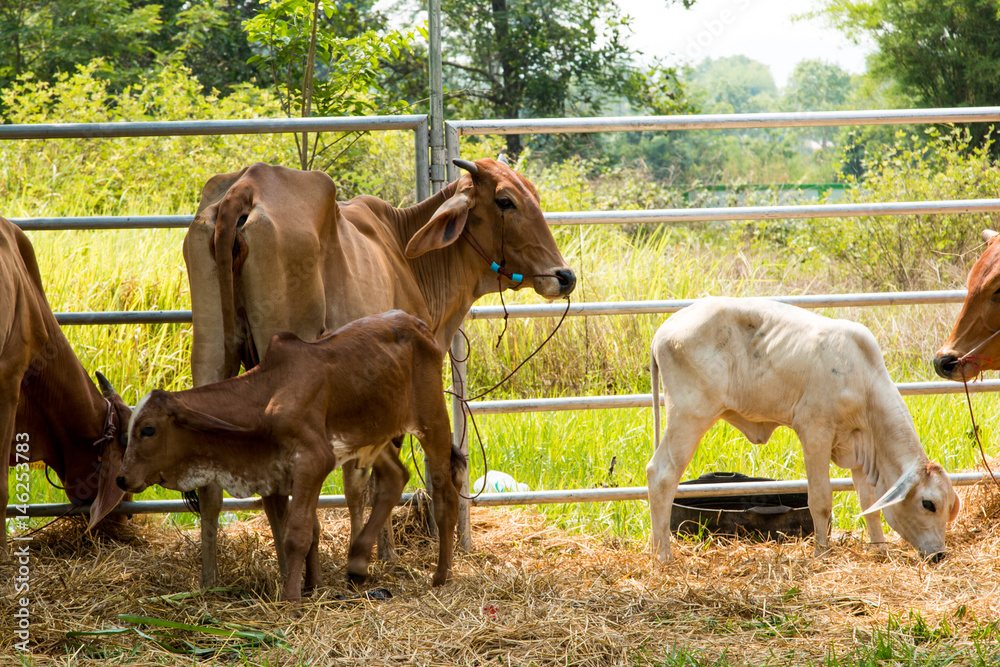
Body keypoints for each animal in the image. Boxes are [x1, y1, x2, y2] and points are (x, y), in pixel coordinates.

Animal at [116, 311, 463, 602]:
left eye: (148, 429)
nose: (121, 478)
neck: (268, 395)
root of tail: (417, 323)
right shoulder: (280, 472)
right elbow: (304, 531)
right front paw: (310, 586)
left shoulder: (314, 460)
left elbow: (296, 534)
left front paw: (292, 600)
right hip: (372, 435)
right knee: (394, 478)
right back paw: (357, 563)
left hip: (432, 420)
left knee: (445, 493)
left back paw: (442, 575)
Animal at [183, 158, 576, 586]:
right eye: (505, 201)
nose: (564, 276)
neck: (405, 258)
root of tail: (249, 185)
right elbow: (369, 478)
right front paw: (378, 554)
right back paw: (303, 575)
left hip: (211, 351)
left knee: (212, 481)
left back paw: (210, 579)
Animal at [646, 297, 960, 565]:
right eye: (928, 504)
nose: (939, 554)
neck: (863, 380)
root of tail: (664, 329)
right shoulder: (815, 432)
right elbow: (820, 499)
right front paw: (822, 552)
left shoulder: (858, 447)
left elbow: (868, 503)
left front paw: (879, 549)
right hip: (690, 414)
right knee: (661, 474)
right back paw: (663, 555)